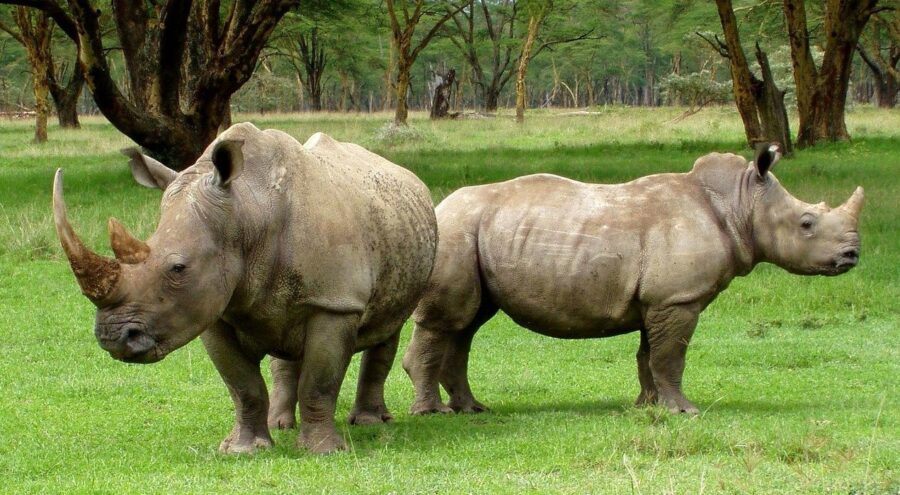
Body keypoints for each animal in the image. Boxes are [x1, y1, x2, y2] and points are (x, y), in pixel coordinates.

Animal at [53, 122, 437, 454]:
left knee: (387, 328)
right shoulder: (211, 310)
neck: (246, 214)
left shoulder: (335, 301)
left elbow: (320, 381)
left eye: (178, 268)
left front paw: (324, 451)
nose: (113, 338)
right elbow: (242, 385)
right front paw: (244, 449)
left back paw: (370, 423)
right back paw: (281, 424)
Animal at [403, 145, 863, 415]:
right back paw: (433, 413)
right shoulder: (678, 298)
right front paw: (684, 412)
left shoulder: (659, 300)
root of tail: (438, 206)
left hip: (473, 234)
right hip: (456, 231)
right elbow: (671, 356)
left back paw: (472, 409)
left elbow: (649, 356)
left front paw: (648, 407)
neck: (740, 204)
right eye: (807, 223)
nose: (852, 256)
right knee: (449, 321)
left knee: (467, 323)